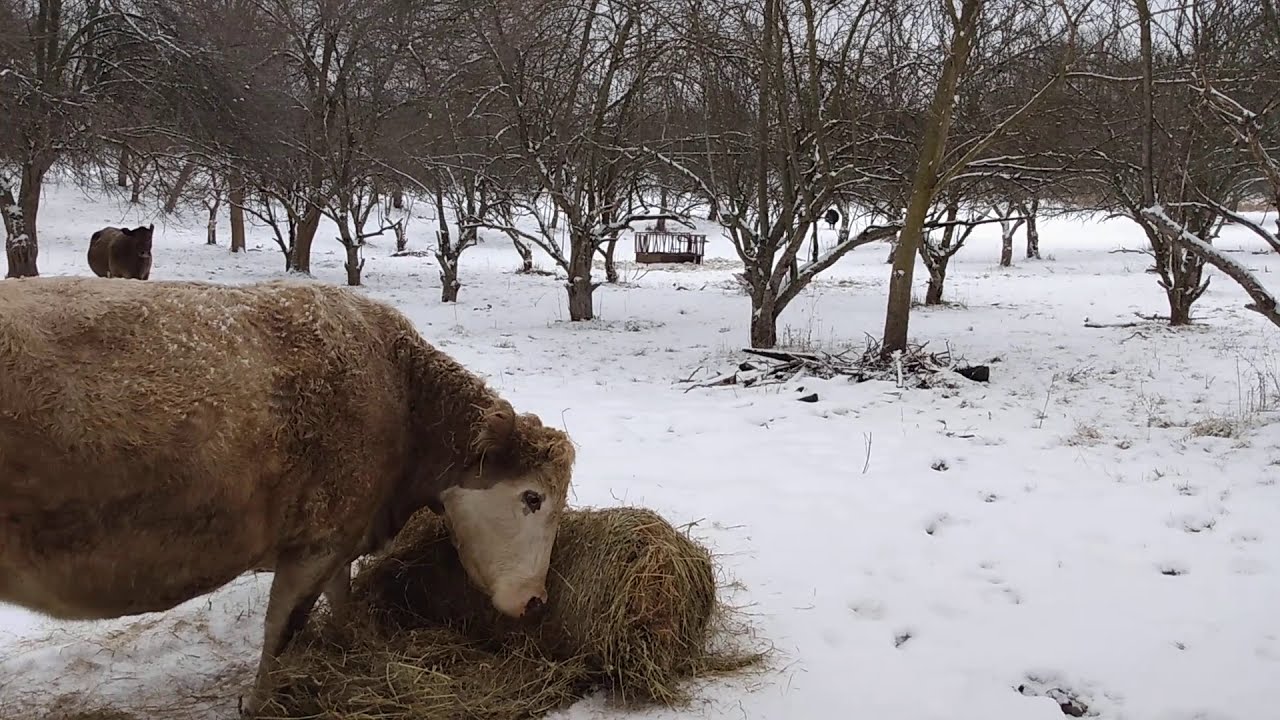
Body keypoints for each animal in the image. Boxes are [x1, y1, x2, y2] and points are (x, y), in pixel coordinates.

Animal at [0, 276, 576, 716]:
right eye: (532, 498)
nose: (536, 600)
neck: (401, 399)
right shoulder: (316, 542)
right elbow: (283, 631)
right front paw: (263, 703)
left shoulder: (343, 537)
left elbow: (340, 599)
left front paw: (351, 645)